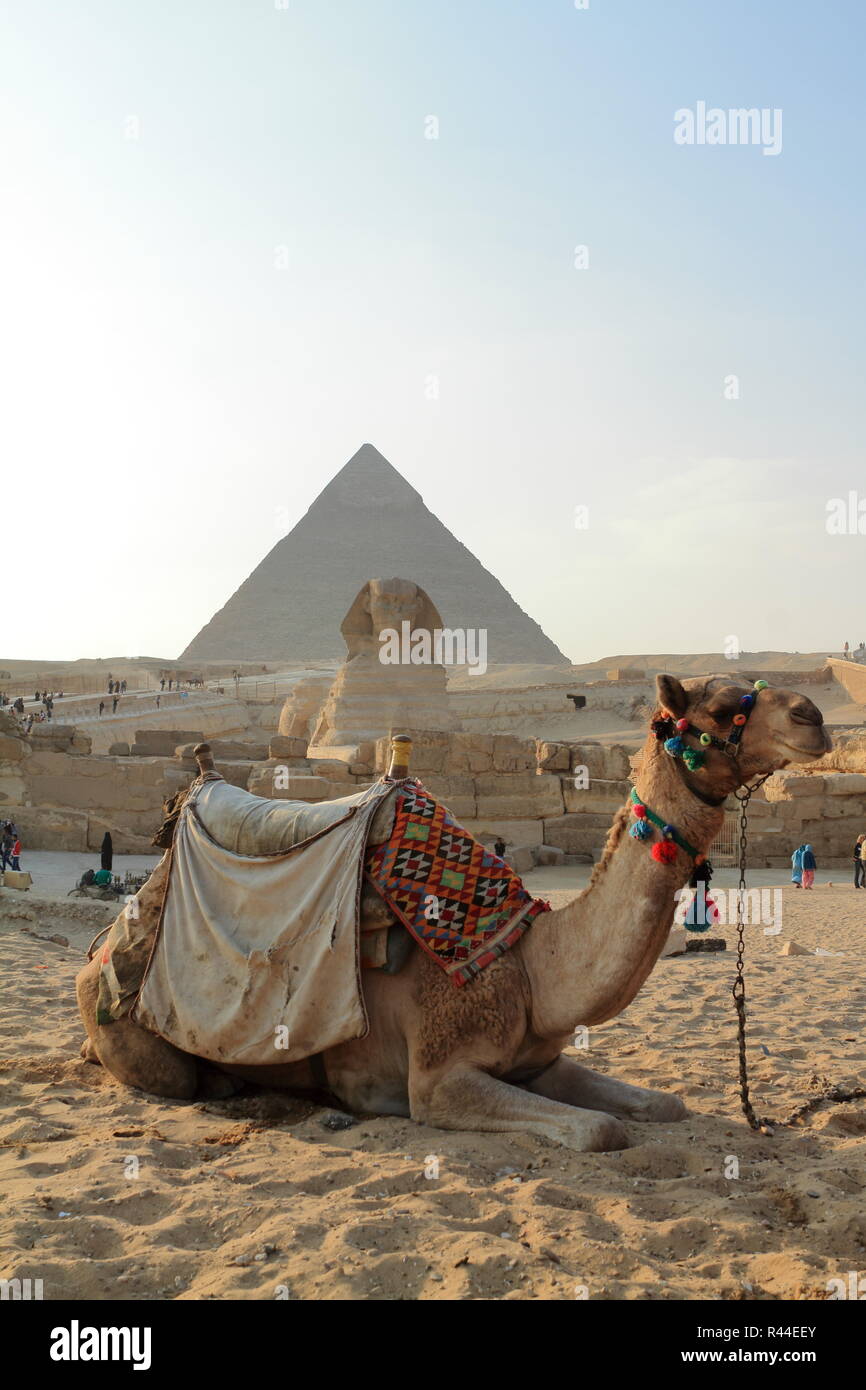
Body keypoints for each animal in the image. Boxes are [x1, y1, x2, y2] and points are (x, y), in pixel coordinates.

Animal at [76, 674, 830, 1151]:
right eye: (723, 707)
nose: (813, 717)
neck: (526, 965)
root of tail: (100, 947)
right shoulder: (436, 1079)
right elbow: (599, 1130)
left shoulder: (537, 1062)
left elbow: (662, 1105)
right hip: (140, 1030)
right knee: (173, 1075)